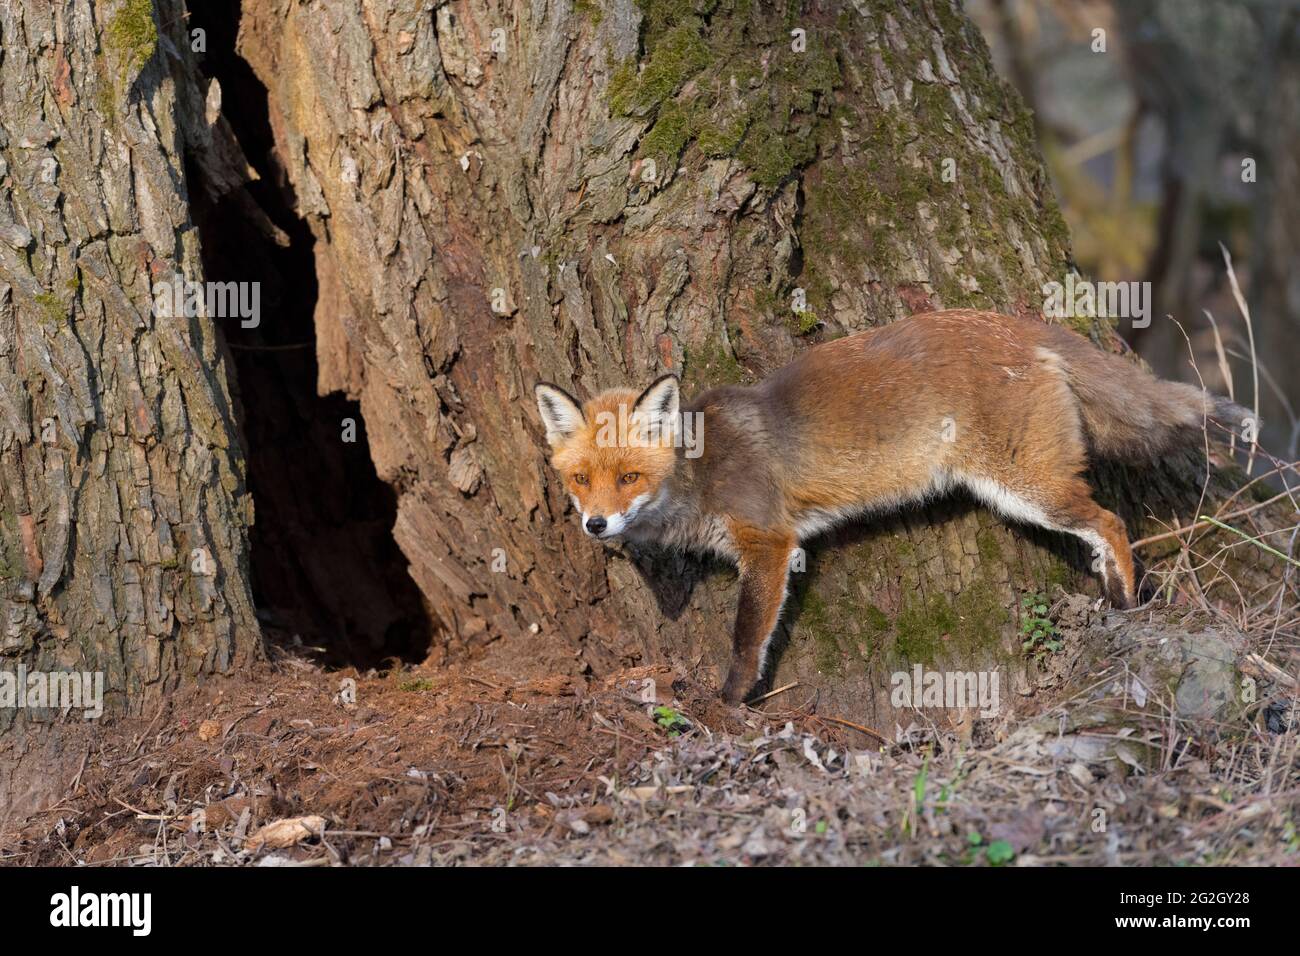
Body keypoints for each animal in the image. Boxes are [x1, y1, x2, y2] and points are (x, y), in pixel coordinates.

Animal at [534, 309, 1251, 704]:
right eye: (581, 480)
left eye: (629, 476)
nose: (596, 524)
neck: (701, 472)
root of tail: (1013, 323)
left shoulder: (769, 542)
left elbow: (746, 635)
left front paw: (733, 699)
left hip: (1027, 487)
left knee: (1110, 520)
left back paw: (1126, 600)